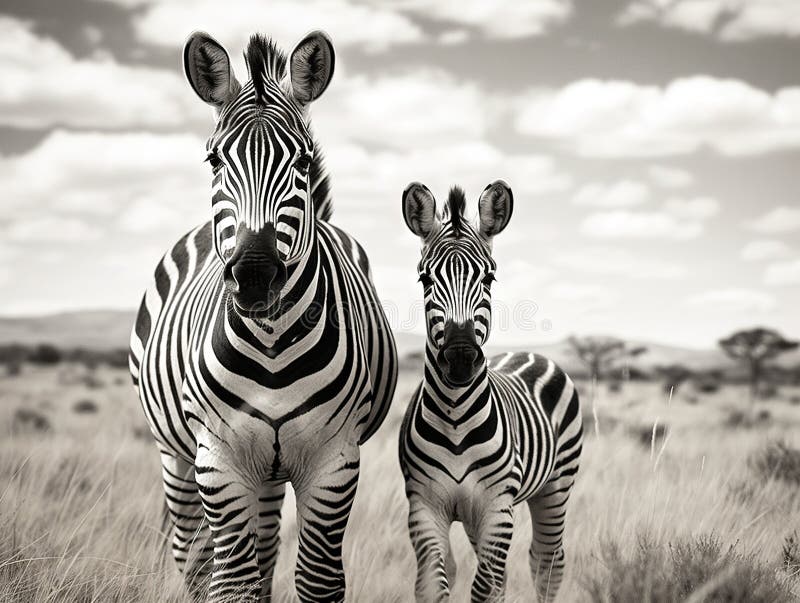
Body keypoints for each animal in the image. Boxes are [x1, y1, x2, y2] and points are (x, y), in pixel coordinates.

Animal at [129, 30, 398, 602]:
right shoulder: (218, 460)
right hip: (175, 456)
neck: (272, 342)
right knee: (193, 557)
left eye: (302, 161)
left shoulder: (334, 461)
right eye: (214, 162)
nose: (254, 276)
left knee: (267, 550)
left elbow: (316, 581)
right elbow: (230, 583)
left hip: (270, 473)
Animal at [398, 181, 583, 602]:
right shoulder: (424, 507)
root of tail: (529, 351)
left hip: (557, 485)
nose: (461, 358)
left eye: (489, 279)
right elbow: (435, 584)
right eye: (425, 280)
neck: (454, 419)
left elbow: (484, 588)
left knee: (548, 562)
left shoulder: (497, 508)